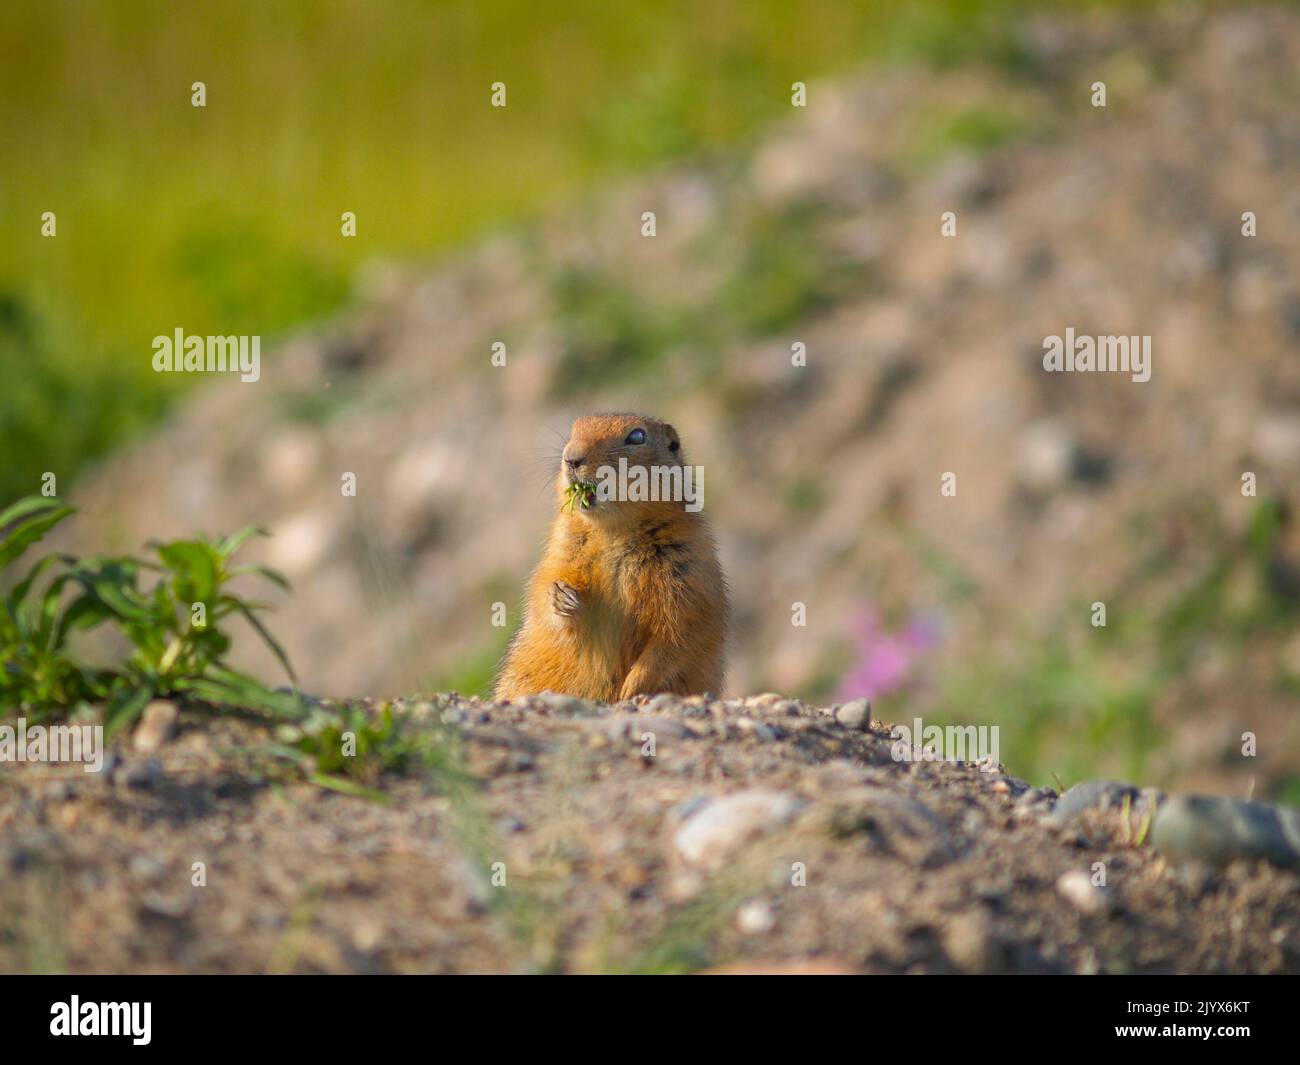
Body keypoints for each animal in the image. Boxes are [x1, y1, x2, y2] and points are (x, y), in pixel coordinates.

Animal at [493, 413, 728, 702]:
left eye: (637, 436)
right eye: (573, 431)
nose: (571, 458)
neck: (613, 531)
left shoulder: (689, 564)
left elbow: (680, 630)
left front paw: (632, 686)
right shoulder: (560, 548)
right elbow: (543, 589)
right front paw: (562, 596)